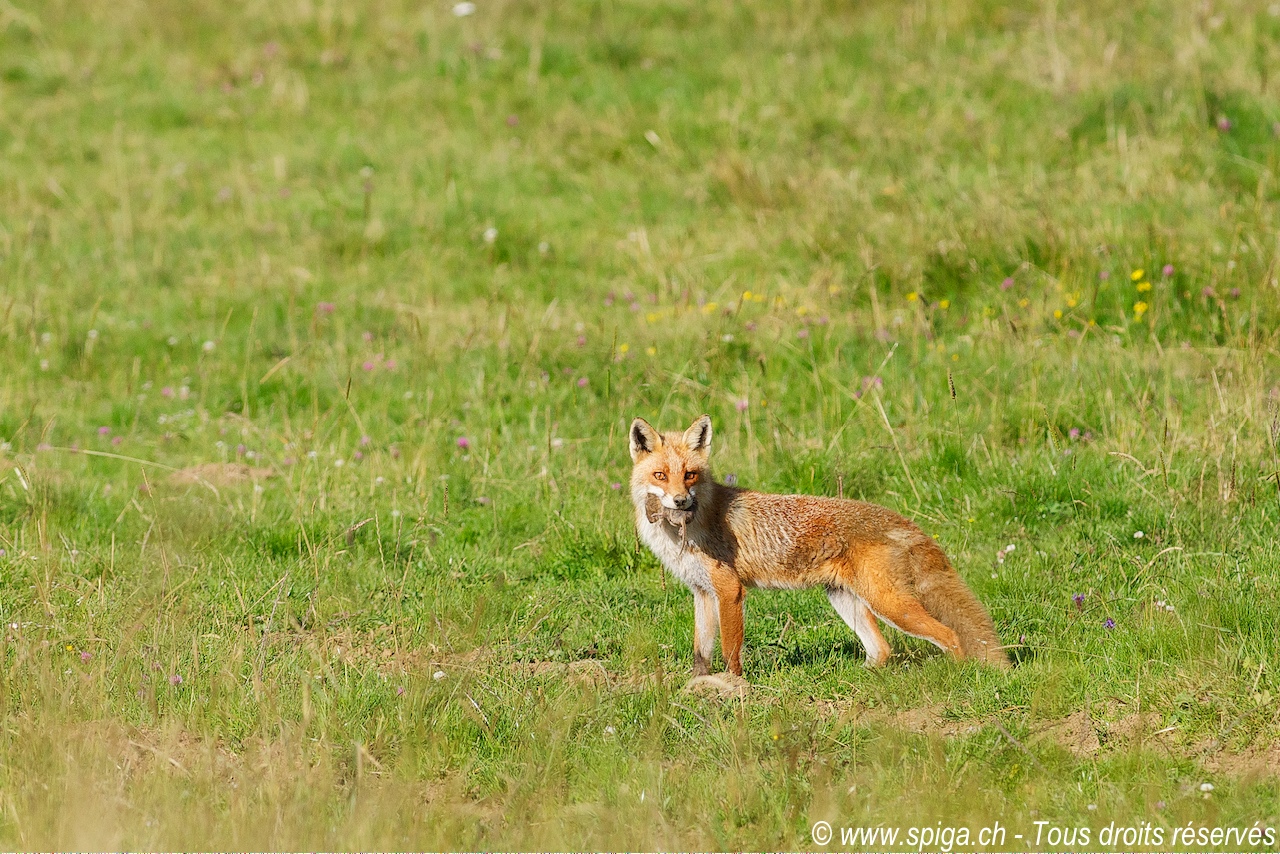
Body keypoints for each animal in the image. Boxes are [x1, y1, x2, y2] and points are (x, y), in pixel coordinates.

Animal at [629, 414, 1009, 677]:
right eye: (661, 475)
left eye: (690, 475)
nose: (680, 501)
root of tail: (899, 518)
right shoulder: (703, 593)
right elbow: (701, 653)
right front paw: (696, 688)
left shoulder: (729, 590)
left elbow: (729, 650)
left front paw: (733, 687)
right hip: (845, 599)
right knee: (882, 649)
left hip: (889, 603)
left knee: (949, 635)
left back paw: (955, 676)